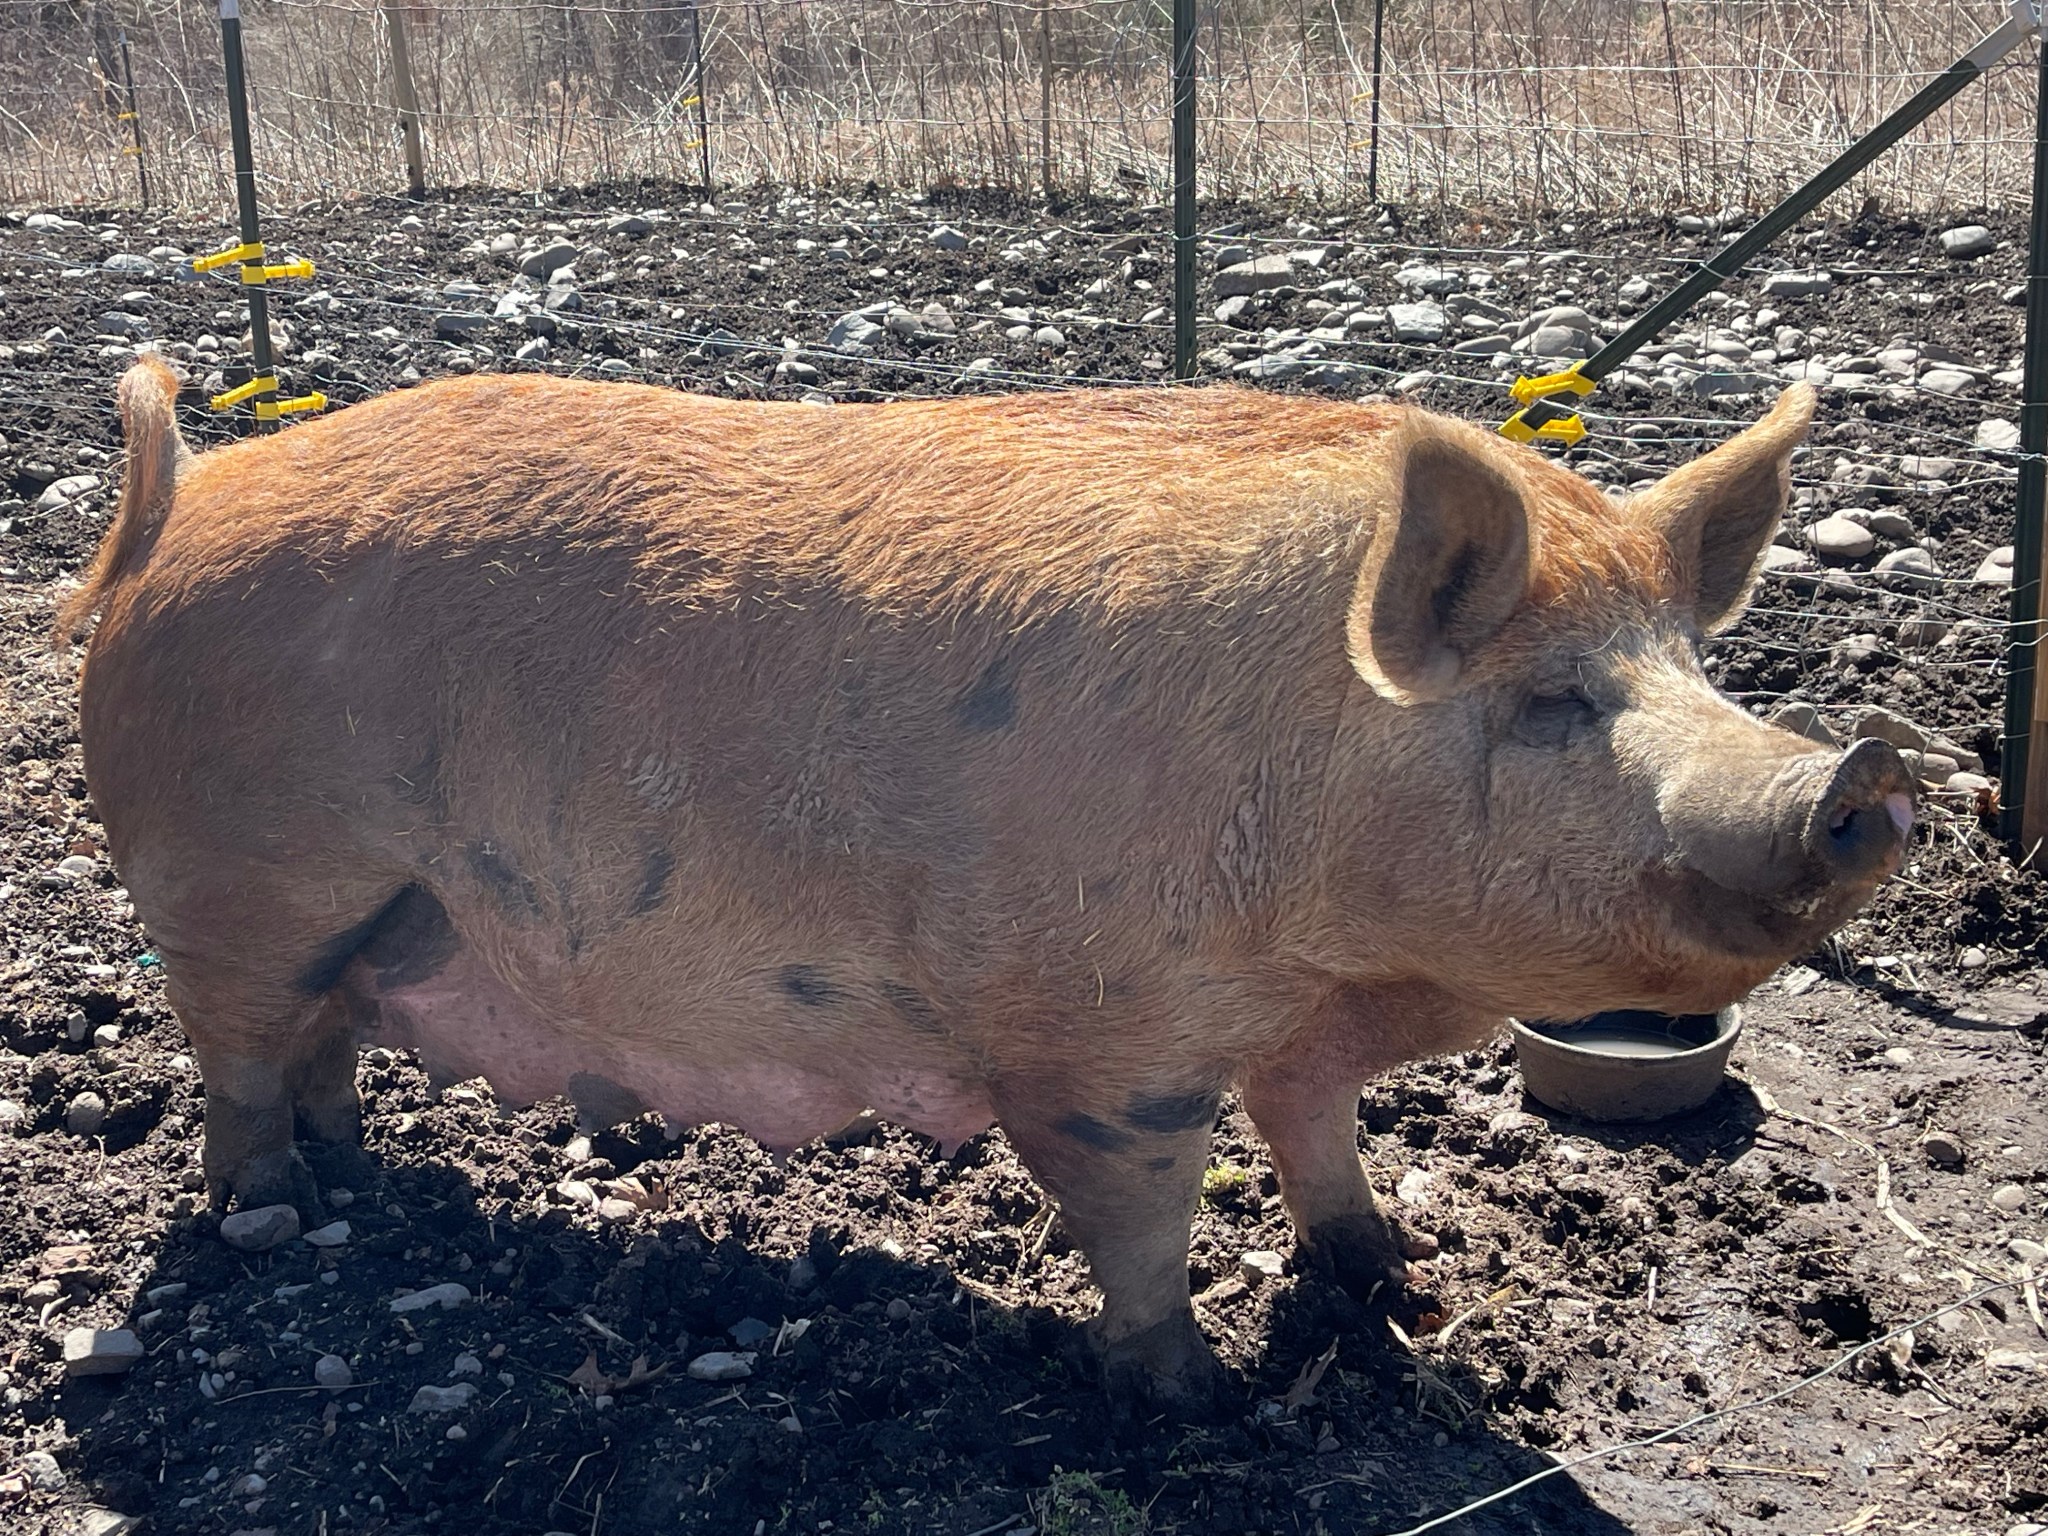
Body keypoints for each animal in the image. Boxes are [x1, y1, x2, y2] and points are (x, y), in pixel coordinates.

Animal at [63, 358, 1911, 1411]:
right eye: (1550, 704)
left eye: (1694, 666)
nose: (1860, 779)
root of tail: (183, 504)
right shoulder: (1101, 1040)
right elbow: (1142, 1208)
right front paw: (1188, 1398)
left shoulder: (1291, 1033)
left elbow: (1318, 1143)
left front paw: (1395, 1284)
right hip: (237, 883)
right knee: (236, 1064)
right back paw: (277, 1217)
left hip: (357, 911)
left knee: (317, 1048)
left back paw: (354, 1178)